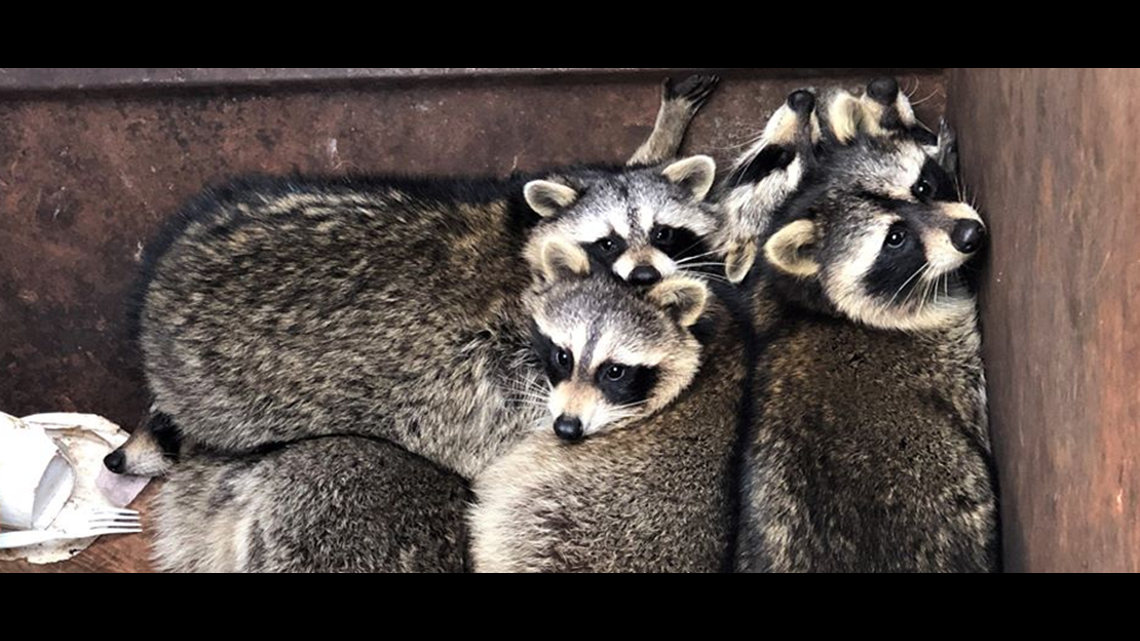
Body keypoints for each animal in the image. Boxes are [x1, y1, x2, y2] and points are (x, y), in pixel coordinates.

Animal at [135, 80, 721, 481]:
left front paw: (660, 138)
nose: (645, 274)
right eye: (606, 245)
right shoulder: (503, 371)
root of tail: (156, 290)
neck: (523, 244)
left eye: (666, 234)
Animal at [734, 78, 999, 572]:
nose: (970, 235)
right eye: (895, 238)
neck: (819, 305)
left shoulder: (765, 295)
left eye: (923, 185)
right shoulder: (945, 346)